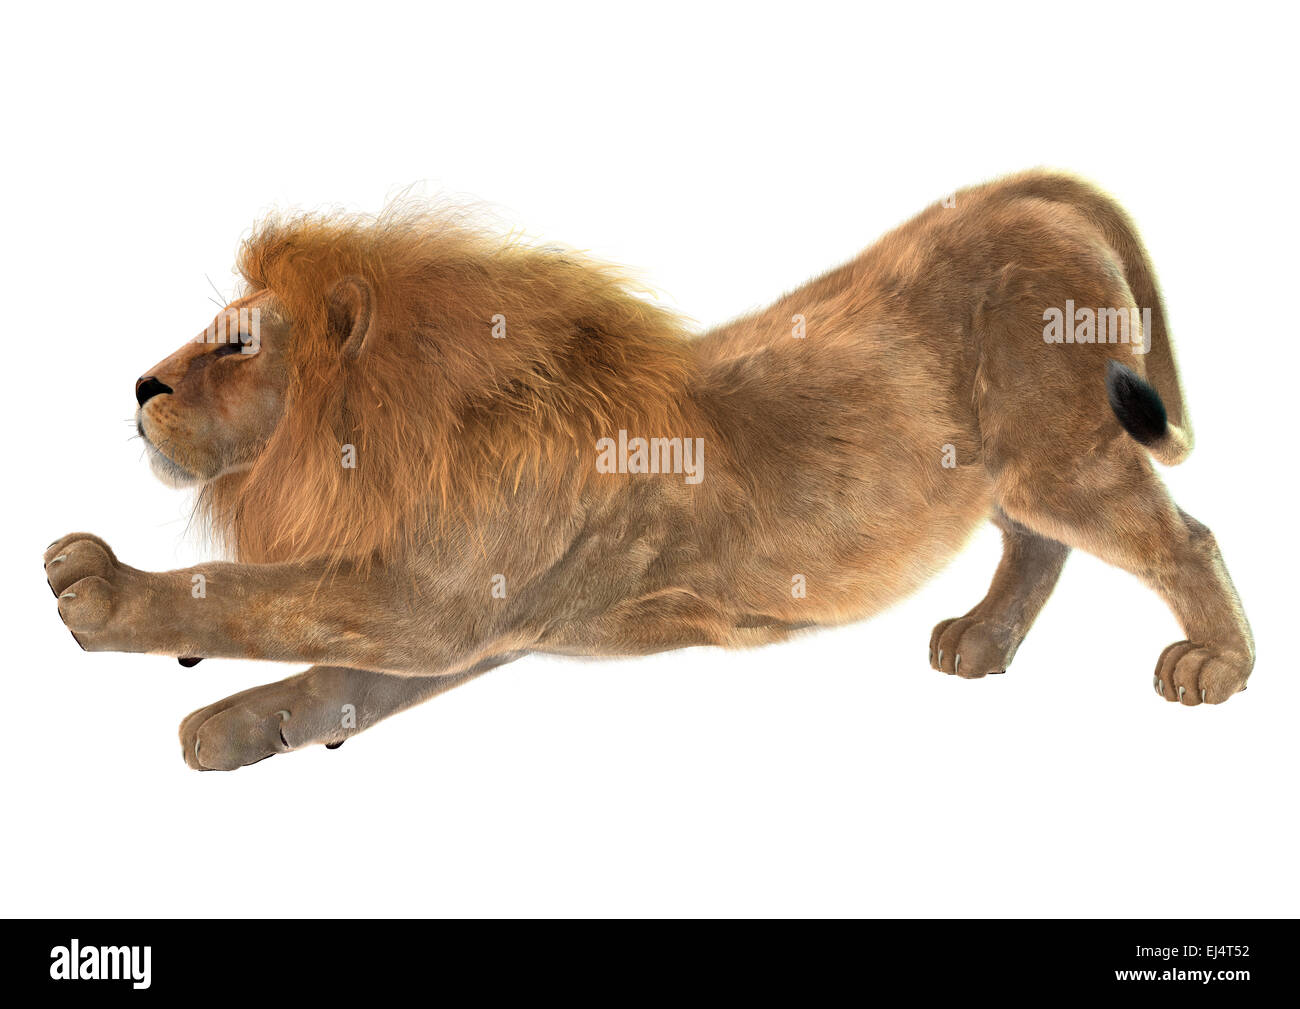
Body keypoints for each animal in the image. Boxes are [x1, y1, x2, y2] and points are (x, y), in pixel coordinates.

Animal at [44, 170, 1254, 770]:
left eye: (237, 343)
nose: (140, 388)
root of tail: (1030, 195)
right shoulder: (476, 615)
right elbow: (338, 675)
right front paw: (251, 728)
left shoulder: (432, 599)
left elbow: (261, 596)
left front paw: (96, 589)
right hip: (1016, 468)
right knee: (1034, 543)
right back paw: (981, 643)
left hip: (1070, 451)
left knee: (1180, 536)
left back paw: (1215, 664)